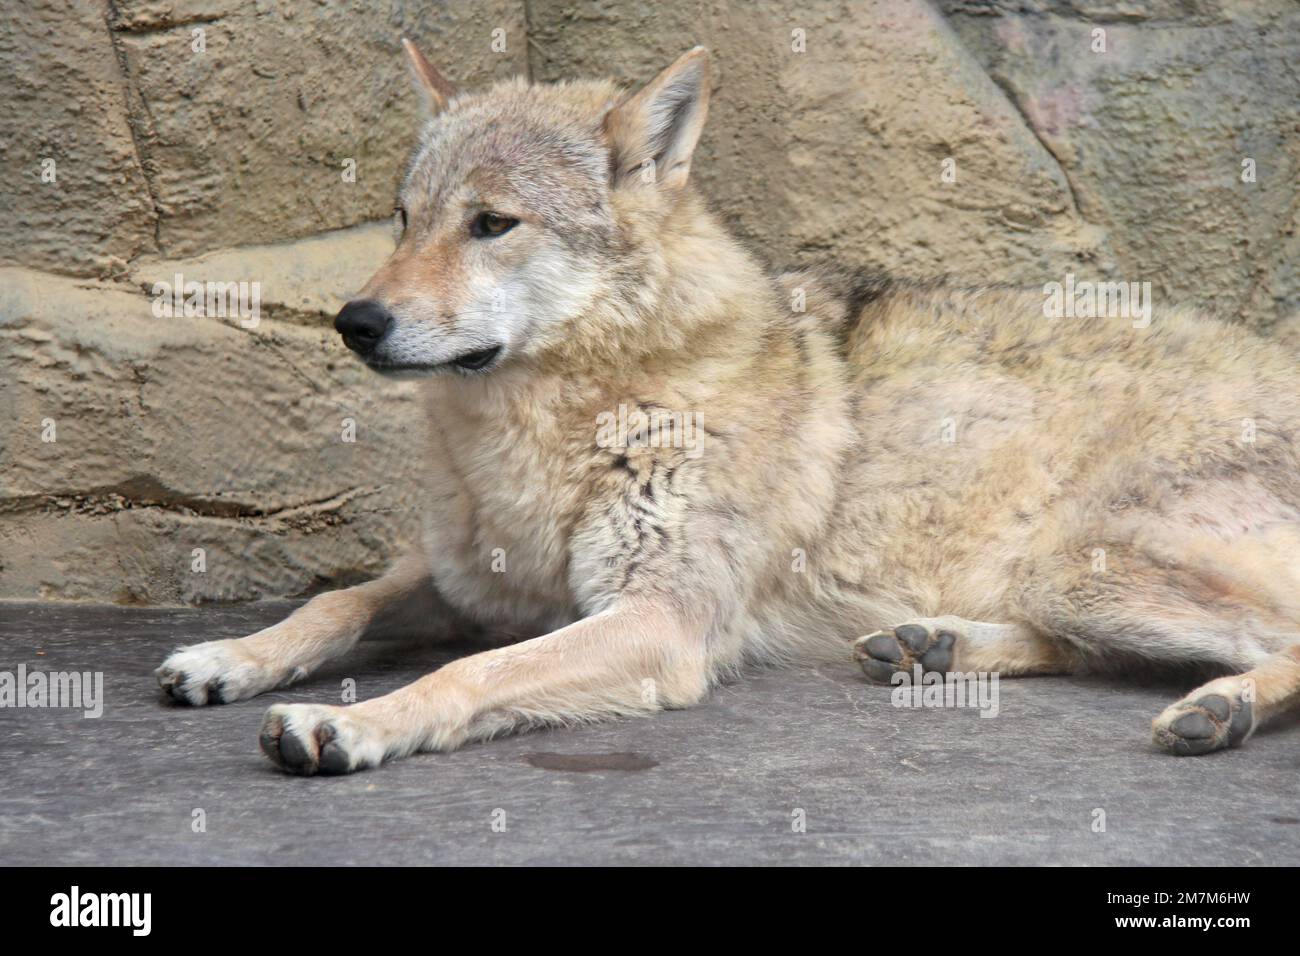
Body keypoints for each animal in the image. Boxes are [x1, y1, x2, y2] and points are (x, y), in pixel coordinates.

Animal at [156, 42, 1300, 774]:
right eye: (402, 218)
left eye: (492, 224)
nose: (355, 321)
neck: (551, 428)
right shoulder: (471, 577)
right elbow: (333, 603)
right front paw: (228, 658)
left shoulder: (659, 619)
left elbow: (472, 671)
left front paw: (345, 726)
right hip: (1065, 584)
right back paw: (931, 646)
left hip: (1081, 567)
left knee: (1261, 646)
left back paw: (1216, 709)